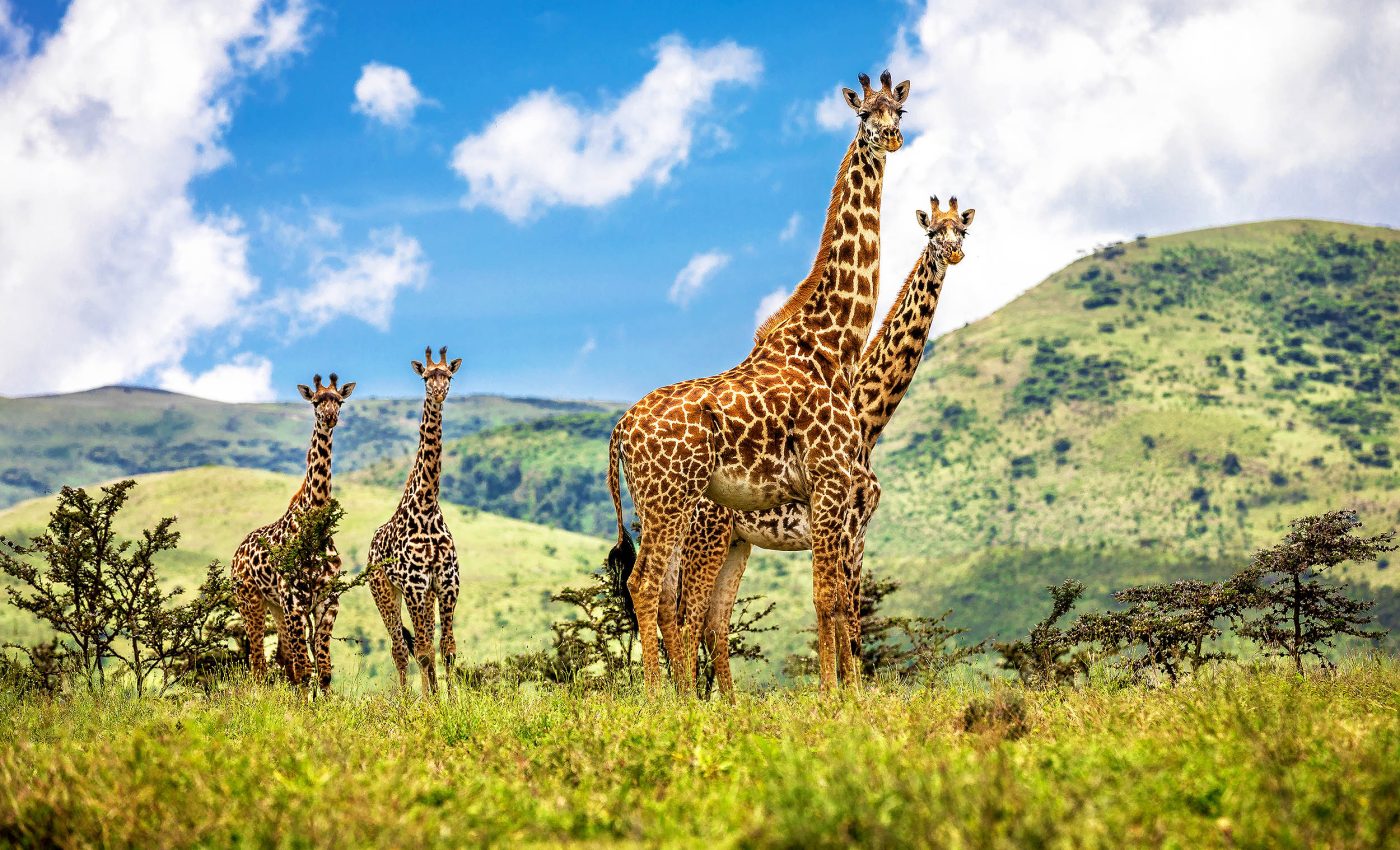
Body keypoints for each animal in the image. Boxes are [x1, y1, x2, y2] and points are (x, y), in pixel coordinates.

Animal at [231, 372, 355, 690]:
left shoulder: (327, 601)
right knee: (258, 662)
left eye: (339, 401)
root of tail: (237, 554)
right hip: (250, 600)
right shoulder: (295, 601)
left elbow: (322, 671)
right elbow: (303, 670)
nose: (330, 417)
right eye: (315, 401)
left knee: (282, 660)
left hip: (275, 605)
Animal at [367, 346, 463, 695]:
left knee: (423, 644)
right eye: (425, 377)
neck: (426, 505)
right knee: (399, 648)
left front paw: (455, 701)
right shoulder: (414, 585)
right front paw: (432, 703)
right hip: (384, 592)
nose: (438, 391)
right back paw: (407, 701)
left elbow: (446, 649)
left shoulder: (446, 583)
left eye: (448, 375)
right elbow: (422, 652)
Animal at [606, 71, 909, 695]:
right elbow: (829, 598)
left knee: (670, 597)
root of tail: (620, 430)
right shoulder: (831, 484)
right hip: (673, 505)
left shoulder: (826, 496)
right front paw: (834, 697)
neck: (833, 346)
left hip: (665, 508)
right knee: (651, 589)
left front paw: (842, 693)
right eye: (864, 114)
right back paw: (661, 699)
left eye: (900, 110)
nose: (890, 138)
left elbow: (833, 599)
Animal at [673, 197, 975, 701]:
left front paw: (851, 691)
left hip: (735, 543)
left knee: (707, 619)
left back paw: (719, 701)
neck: (869, 417)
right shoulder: (845, 527)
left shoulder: (857, 533)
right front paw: (845, 693)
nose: (953, 254)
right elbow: (841, 609)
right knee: (682, 617)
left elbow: (846, 610)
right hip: (705, 537)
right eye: (933, 232)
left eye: (963, 232)